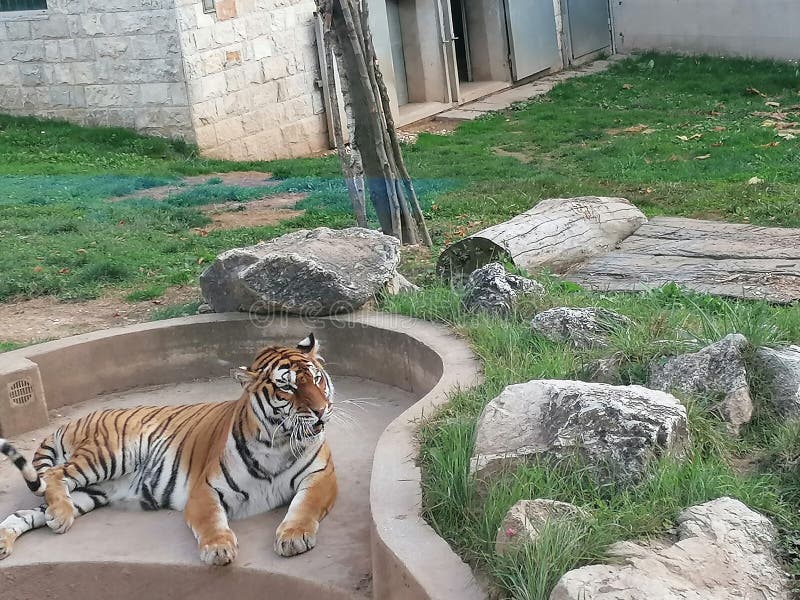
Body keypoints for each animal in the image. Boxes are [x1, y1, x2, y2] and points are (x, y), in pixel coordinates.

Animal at [0, 333, 337, 566]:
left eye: (317, 379)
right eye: (287, 387)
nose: (321, 410)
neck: (276, 443)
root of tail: (71, 423)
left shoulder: (320, 477)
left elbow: (303, 507)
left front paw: (294, 537)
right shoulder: (205, 489)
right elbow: (211, 519)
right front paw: (218, 548)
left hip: (92, 492)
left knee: (23, 513)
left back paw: (11, 538)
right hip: (108, 456)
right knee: (55, 475)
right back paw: (59, 516)